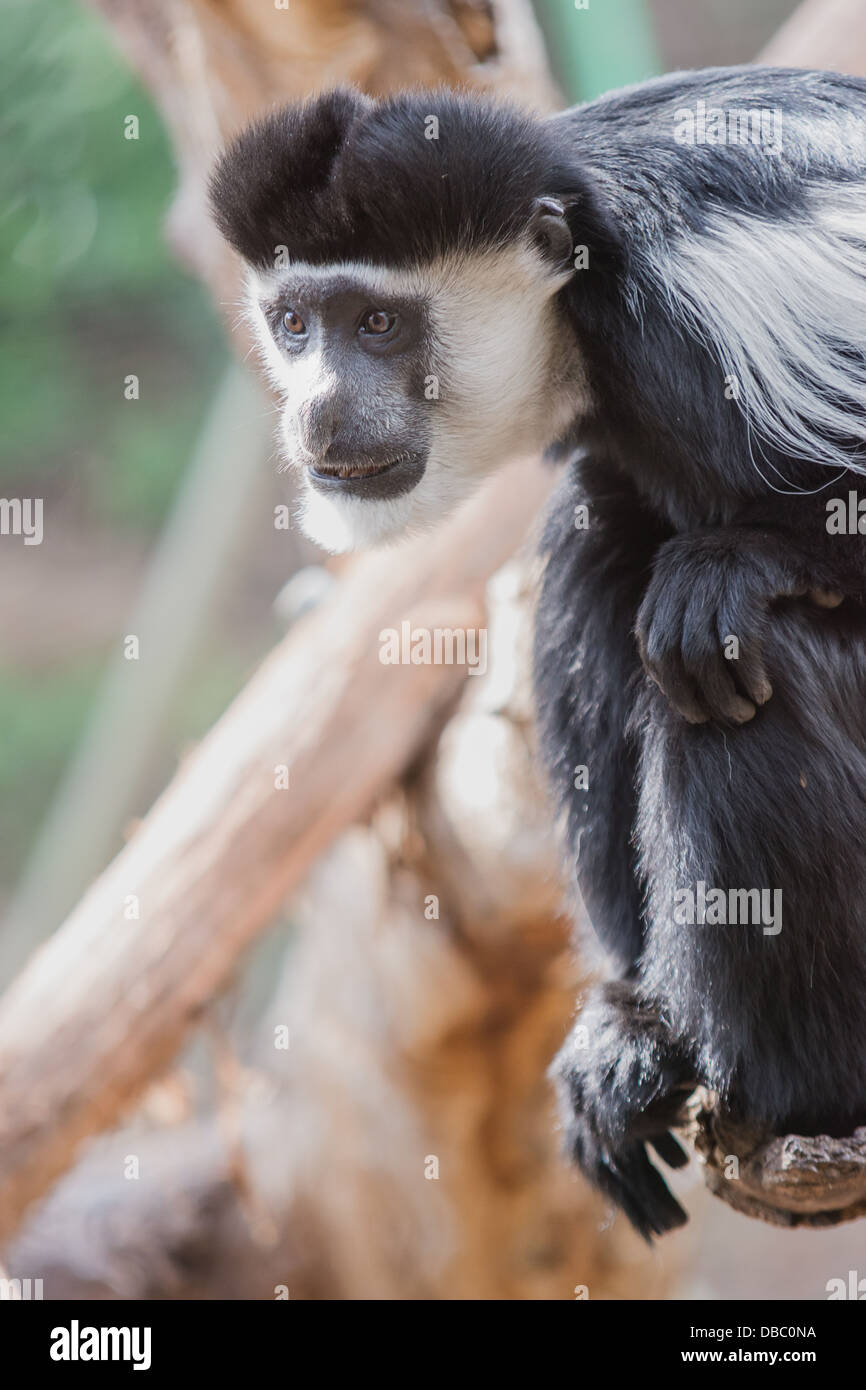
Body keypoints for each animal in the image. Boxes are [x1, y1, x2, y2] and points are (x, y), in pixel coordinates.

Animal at [210, 67, 866, 1239]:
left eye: (379, 323)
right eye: (294, 323)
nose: (320, 412)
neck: (579, 271)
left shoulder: (703, 323)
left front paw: (739, 563)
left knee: (739, 670)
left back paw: (797, 1088)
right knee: (594, 549)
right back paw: (641, 1039)